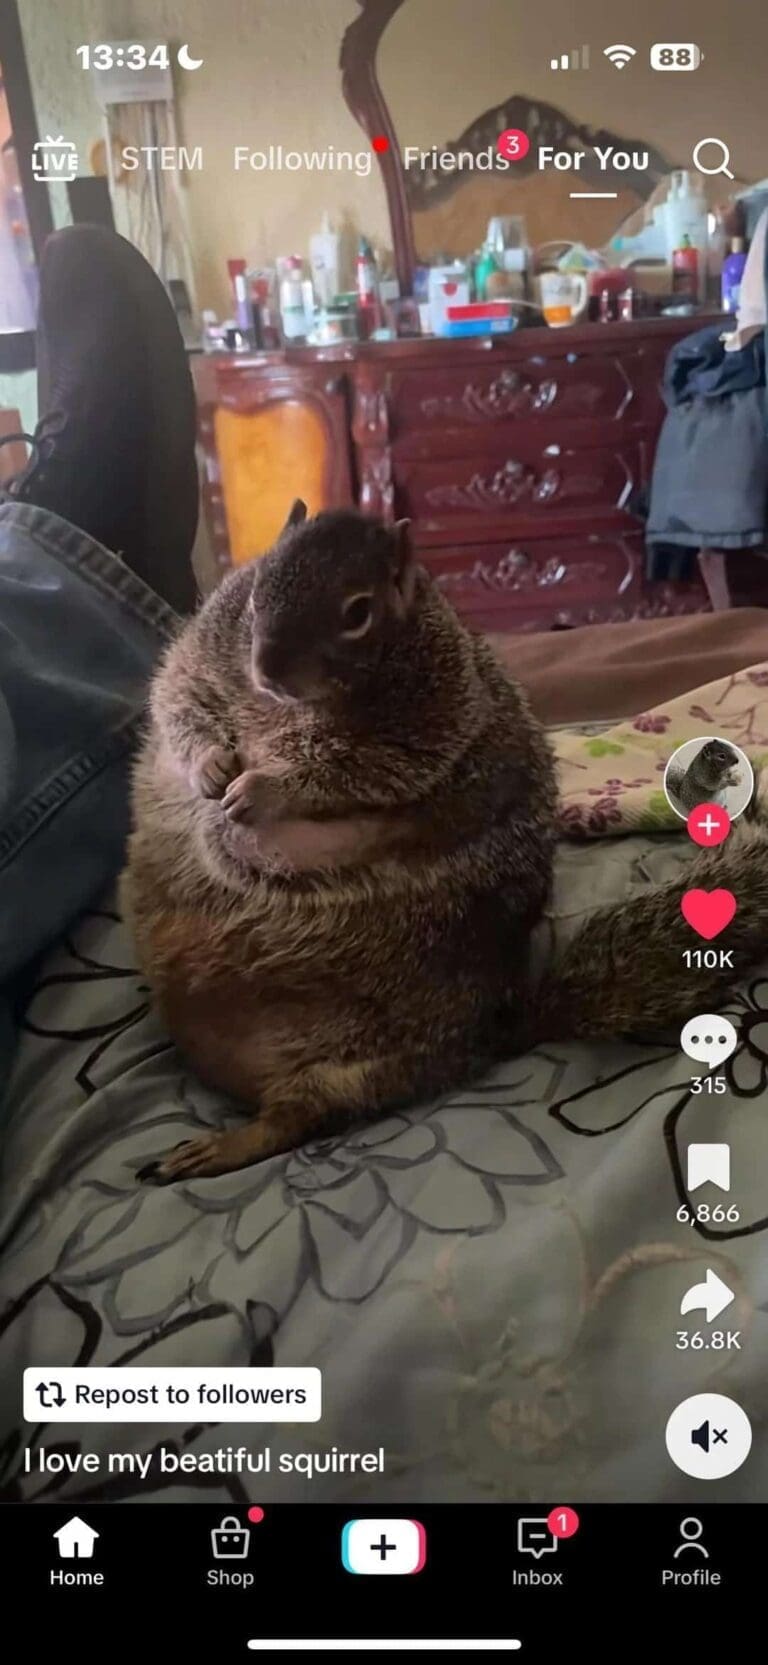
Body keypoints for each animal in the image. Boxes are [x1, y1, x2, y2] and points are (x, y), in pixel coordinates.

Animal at [122, 504, 768, 1182]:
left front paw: (263, 790)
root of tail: (495, 1031)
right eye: (254, 587)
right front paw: (209, 764)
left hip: (364, 1062)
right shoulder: (201, 659)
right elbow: (180, 704)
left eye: (358, 611)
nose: (268, 668)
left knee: (296, 1119)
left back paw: (219, 1146)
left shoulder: (431, 723)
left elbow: (348, 772)